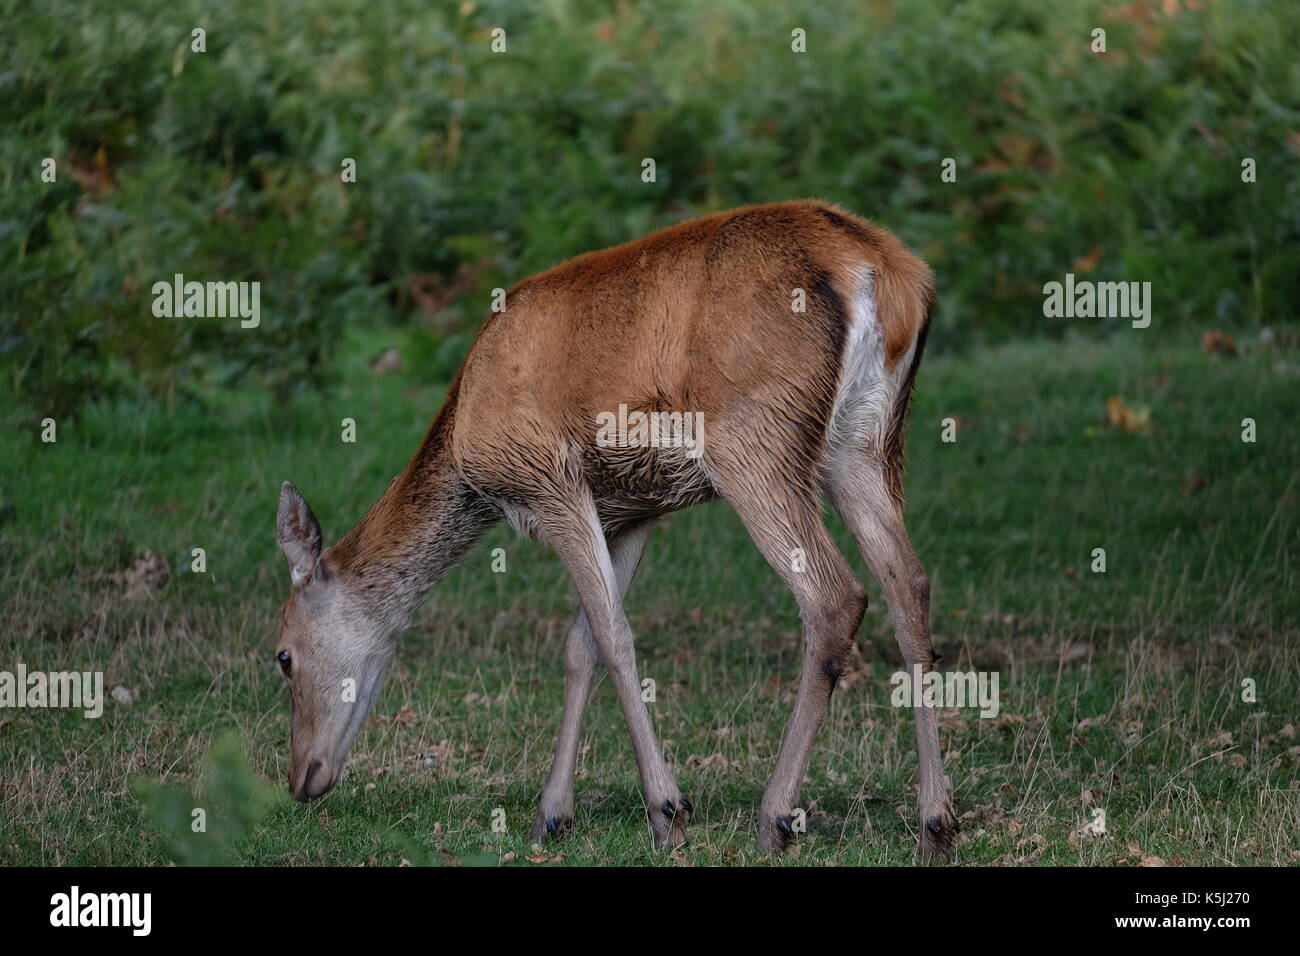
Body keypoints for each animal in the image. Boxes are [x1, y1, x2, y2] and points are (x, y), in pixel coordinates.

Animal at [272, 199, 957, 860]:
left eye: (282, 656)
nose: (301, 779)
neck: (469, 443)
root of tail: (885, 273)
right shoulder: (632, 511)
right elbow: (583, 645)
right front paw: (551, 817)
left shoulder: (549, 479)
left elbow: (612, 632)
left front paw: (668, 813)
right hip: (866, 443)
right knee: (910, 584)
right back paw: (936, 823)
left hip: (754, 436)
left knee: (834, 595)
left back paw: (775, 820)